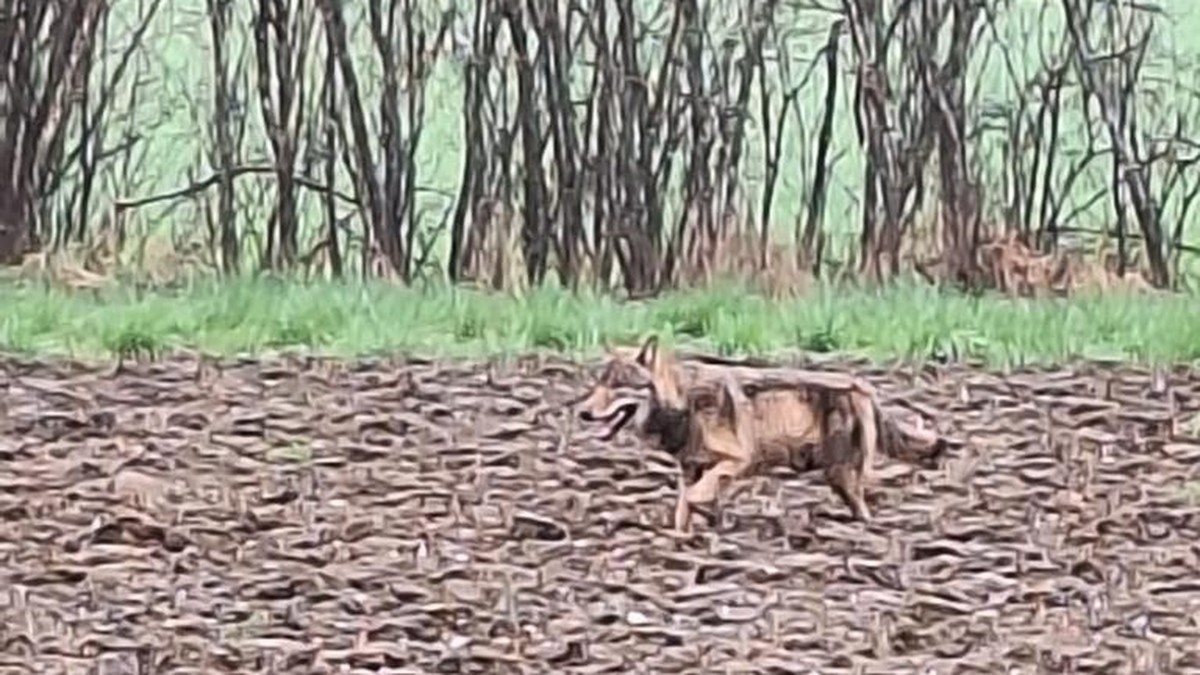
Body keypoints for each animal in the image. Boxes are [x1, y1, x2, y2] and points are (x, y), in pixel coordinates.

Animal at [576, 335, 945, 534]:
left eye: (617, 386)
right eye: (598, 384)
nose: (583, 413)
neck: (683, 404)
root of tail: (863, 384)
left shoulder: (736, 461)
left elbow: (696, 497)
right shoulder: (691, 469)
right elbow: (684, 505)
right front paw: (683, 537)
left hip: (845, 472)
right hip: (838, 477)